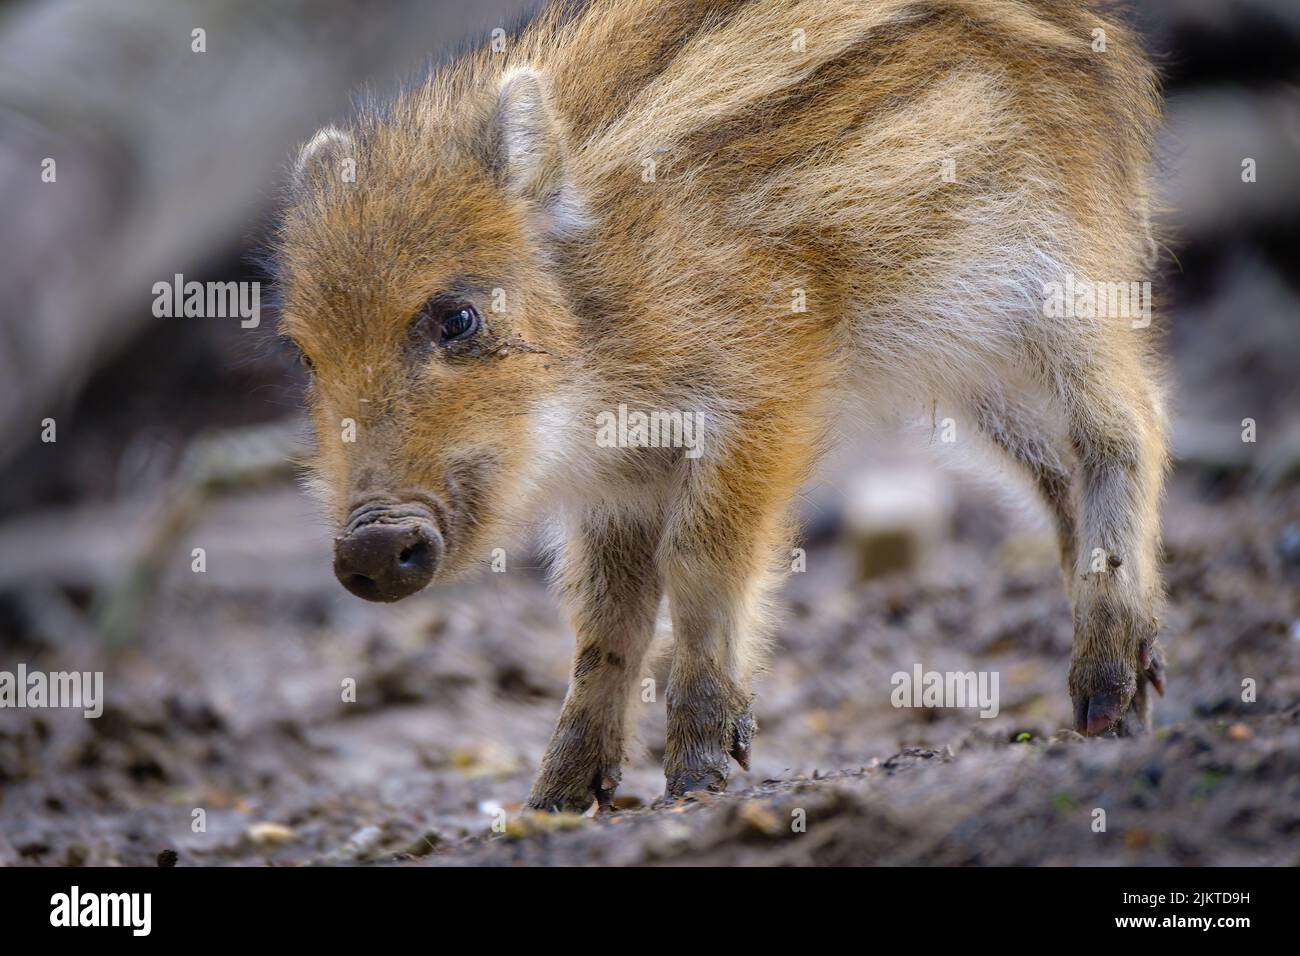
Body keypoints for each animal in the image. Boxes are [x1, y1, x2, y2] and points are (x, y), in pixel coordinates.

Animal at [276, 0, 1168, 811]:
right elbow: (605, 617)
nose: (369, 547)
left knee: (1128, 427)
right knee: (1060, 481)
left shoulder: (761, 399)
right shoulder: (619, 482)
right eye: (307, 357)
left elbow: (702, 562)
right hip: (982, 374)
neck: (599, 317)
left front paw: (698, 776)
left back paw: (1106, 692)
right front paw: (553, 801)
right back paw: (1121, 700)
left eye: (458, 318)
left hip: (1063, 293)